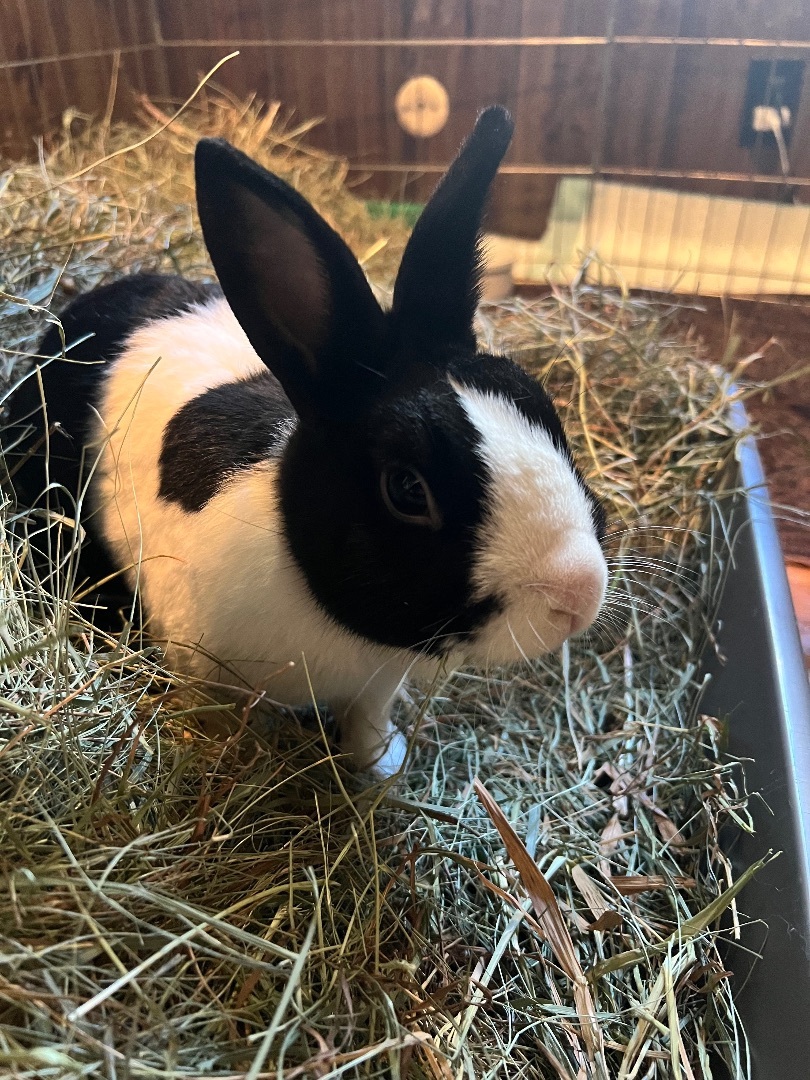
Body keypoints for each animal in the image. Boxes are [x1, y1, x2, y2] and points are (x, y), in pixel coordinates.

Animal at [7, 106, 608, 777]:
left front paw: (379, 767)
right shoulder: (192, 656)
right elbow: (209, 712)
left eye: (543, 410)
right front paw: (222, 755)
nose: (579, 595)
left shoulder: (378, 683)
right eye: (407, 489)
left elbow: (366, 720)